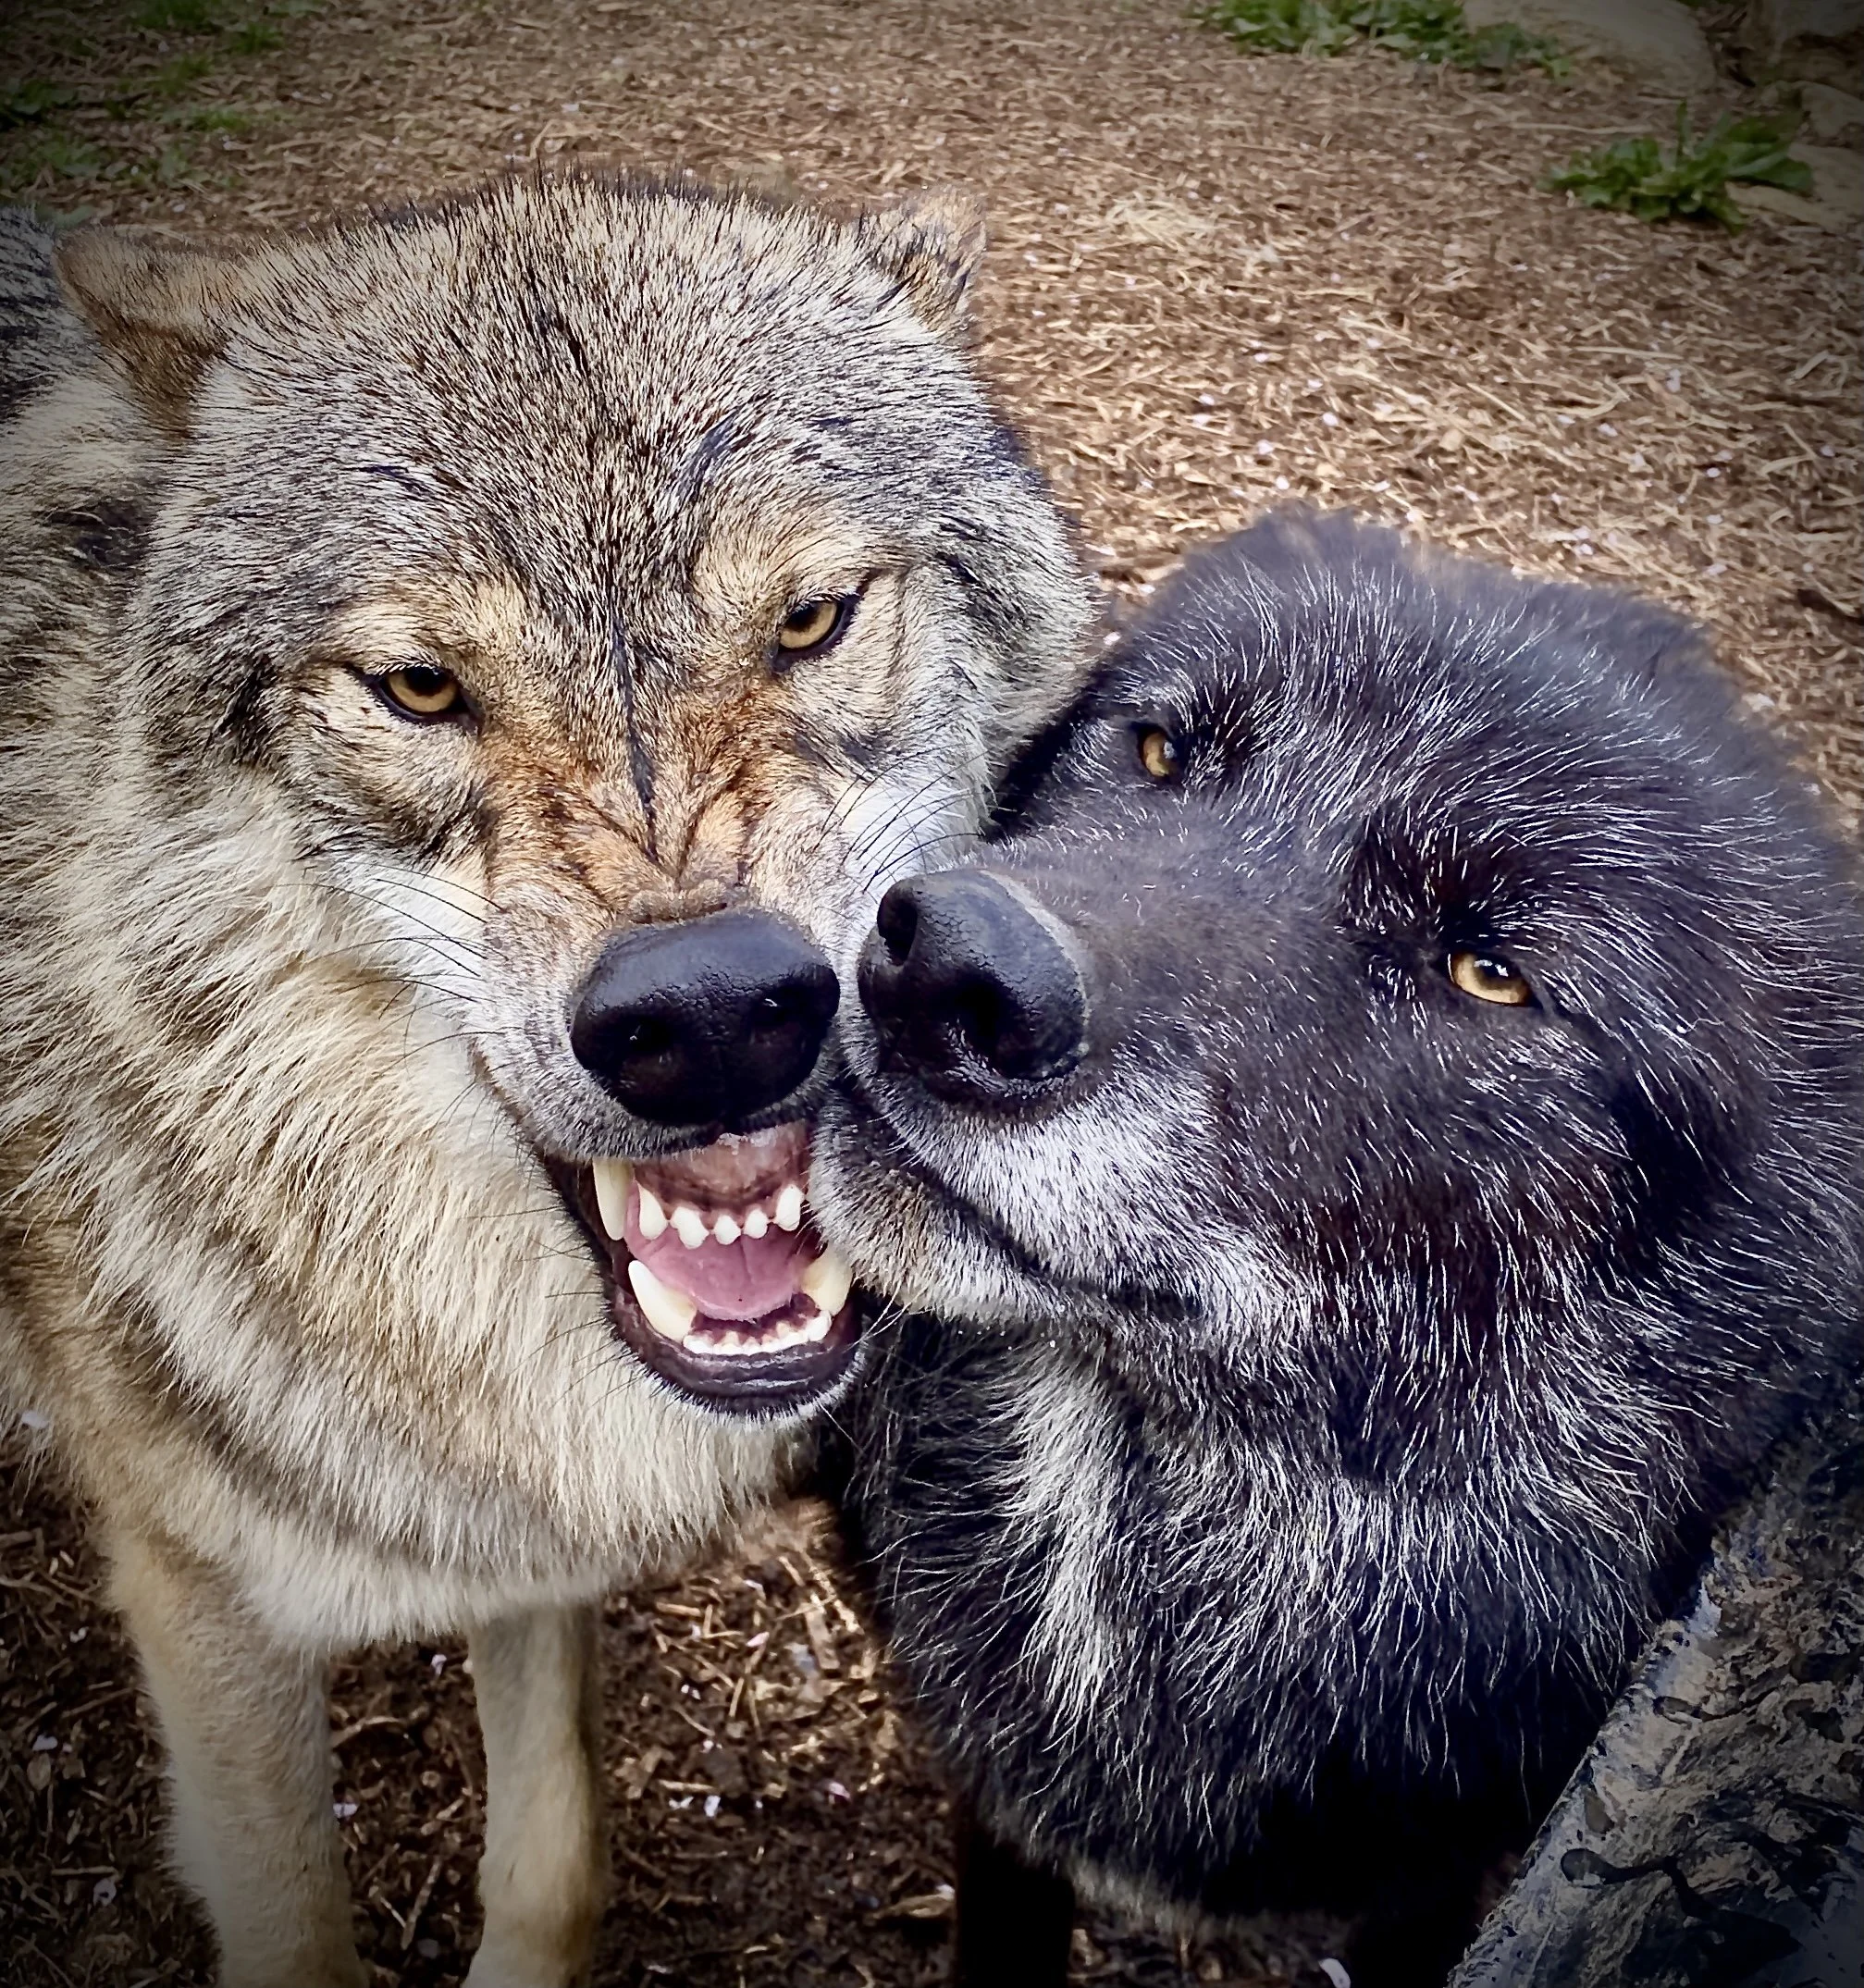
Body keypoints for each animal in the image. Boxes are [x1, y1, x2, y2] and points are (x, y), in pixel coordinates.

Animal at [0, 173, 1092, 1986]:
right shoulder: (200, 1595)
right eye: (419, 686)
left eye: (810, 619)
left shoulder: (530, 1536)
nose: (714, 1014)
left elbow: (559, 1850)